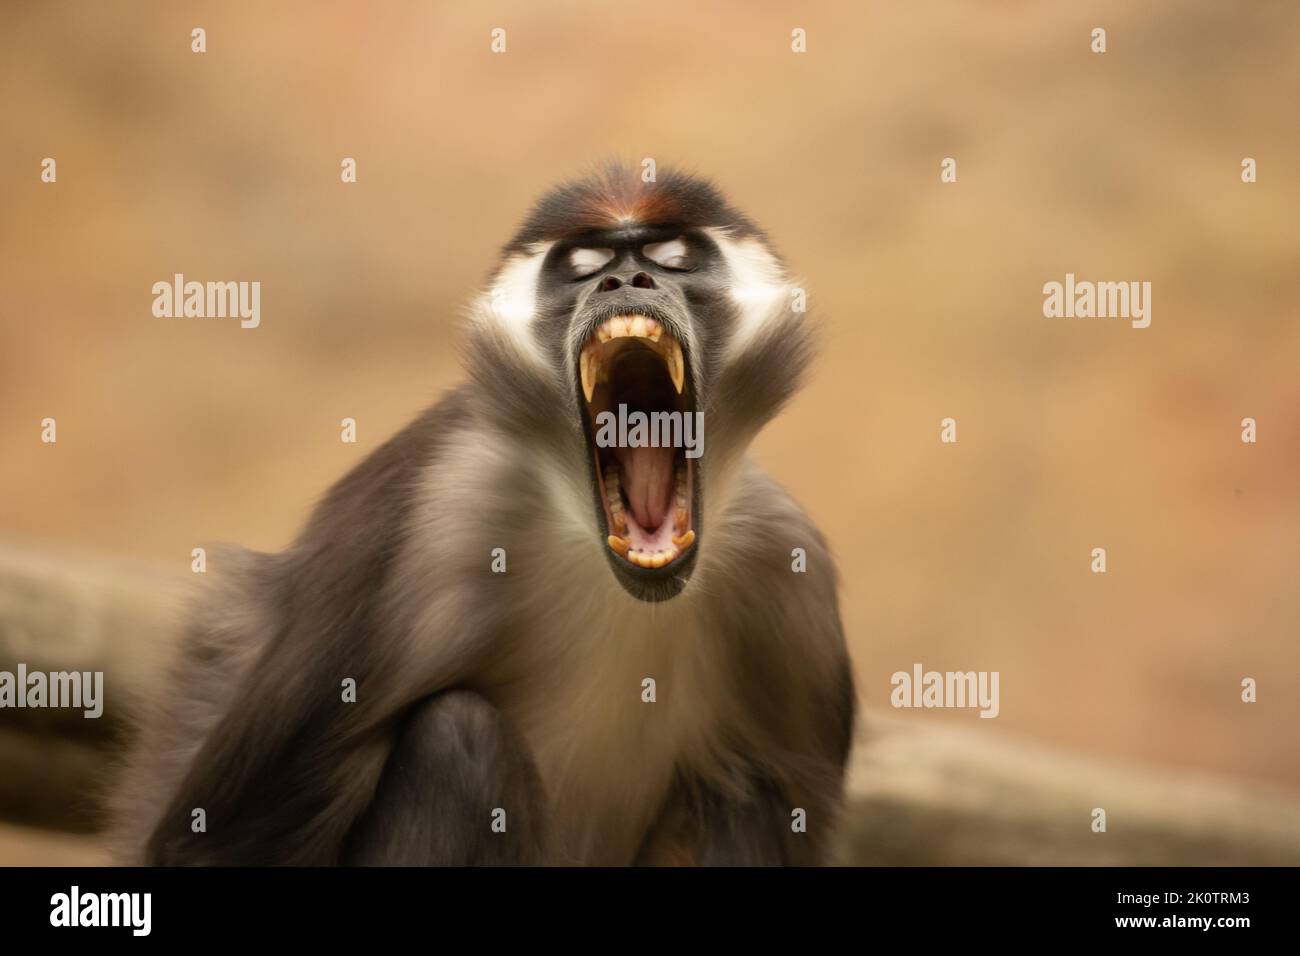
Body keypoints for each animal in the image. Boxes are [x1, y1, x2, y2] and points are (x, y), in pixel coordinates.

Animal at [112, 163, 855, 866]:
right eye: (581, 269)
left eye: (673, 257)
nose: (626, 281)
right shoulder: (434, 514)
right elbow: (213, 843)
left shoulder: (791, 575)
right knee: (459, 739)